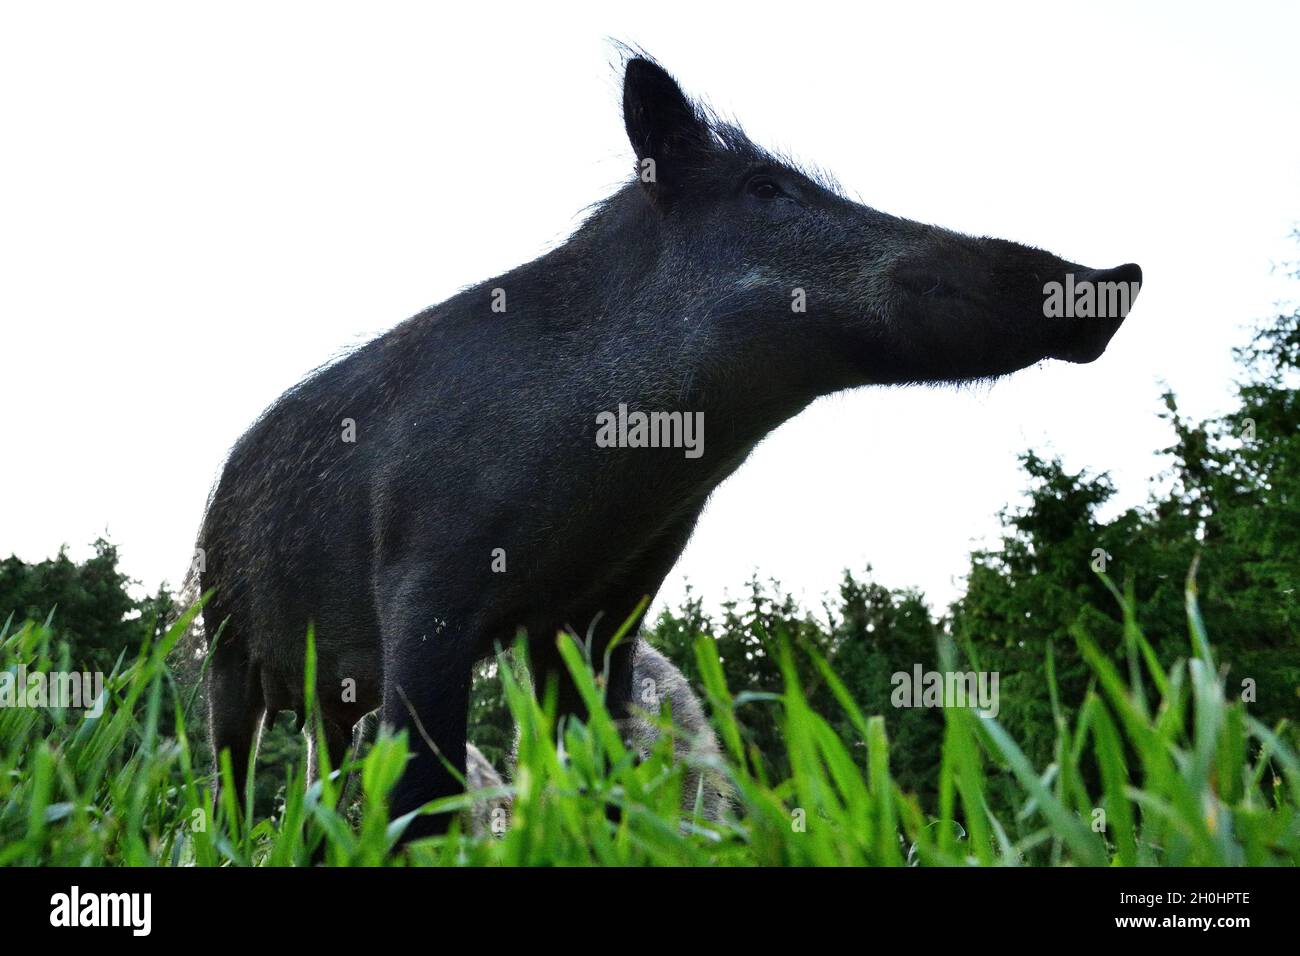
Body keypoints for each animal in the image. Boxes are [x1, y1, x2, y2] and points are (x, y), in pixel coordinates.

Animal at [196, 53, 1140, 840]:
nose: (1121, 276)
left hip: (326, 683)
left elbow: (601, 757)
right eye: (767, 189)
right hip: (222, 630)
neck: (637, 466)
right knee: (235, 764)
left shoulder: (612, 602)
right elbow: (423, 784)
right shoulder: (424, 579)